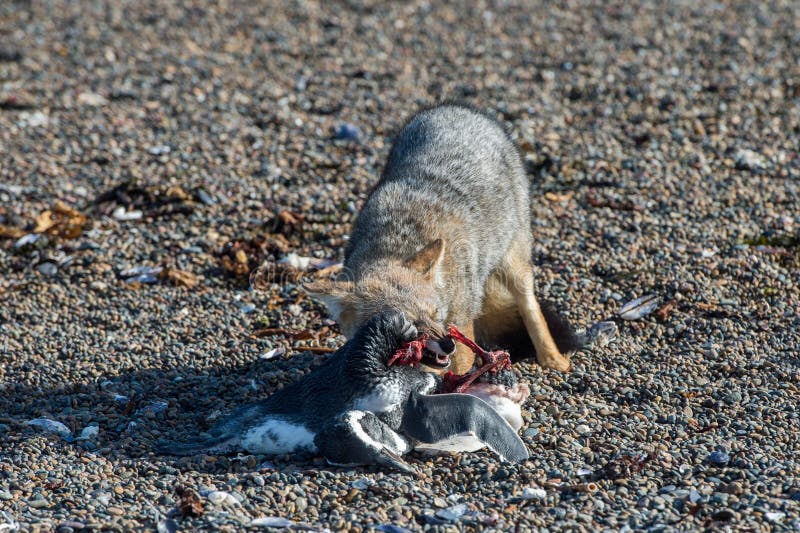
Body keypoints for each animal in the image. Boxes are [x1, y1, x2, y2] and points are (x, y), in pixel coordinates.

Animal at [304, 104, 582, 375]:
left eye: (436, 313)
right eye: (407, 324)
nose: (448, 344)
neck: (393, 243)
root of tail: (459, 109)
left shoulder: (460, 327)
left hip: (514, 266)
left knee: (530, 307)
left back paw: (552, 359)